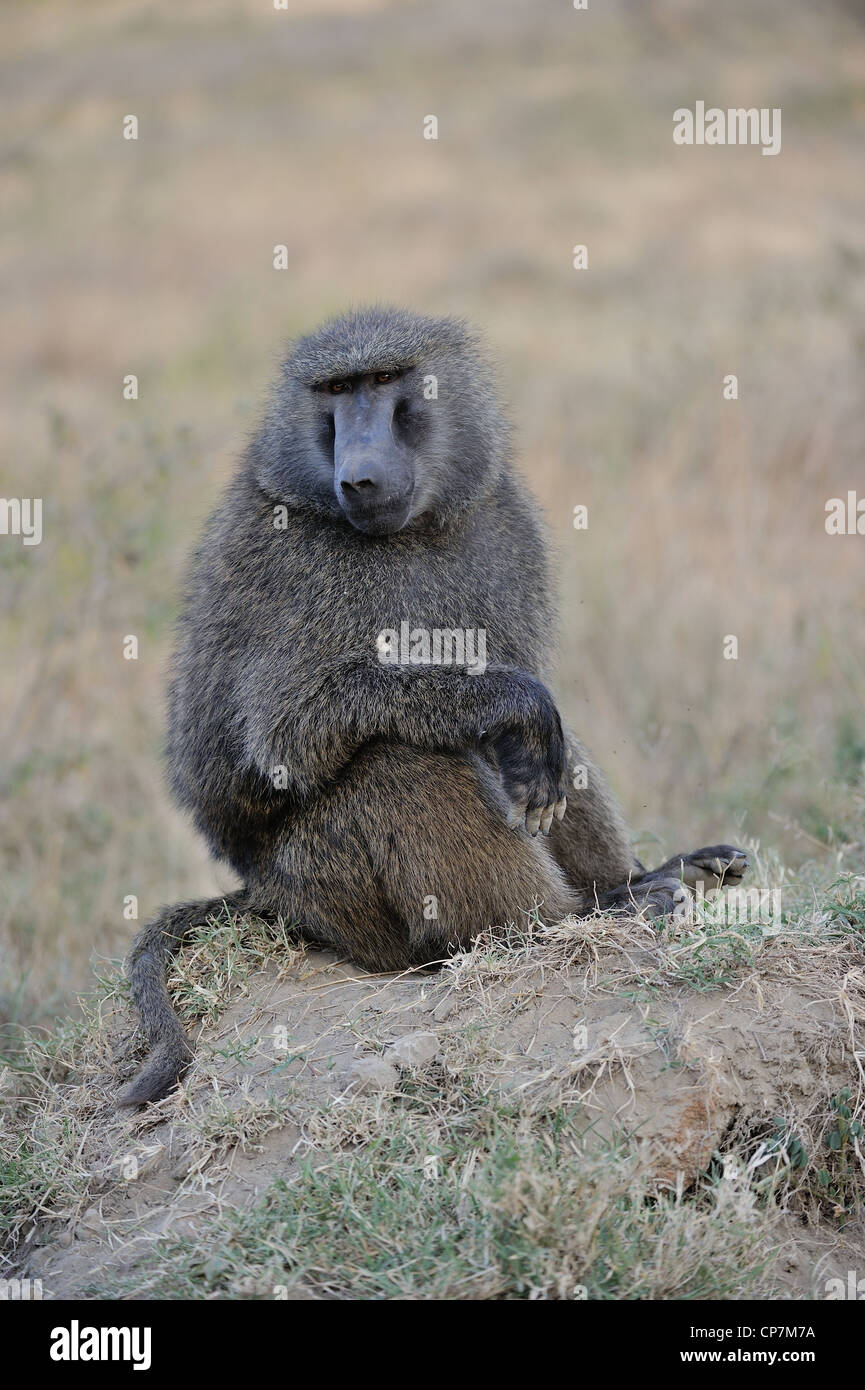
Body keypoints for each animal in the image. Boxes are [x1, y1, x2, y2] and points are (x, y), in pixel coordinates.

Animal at [118, 306, 748, 1106]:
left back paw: (641, 880)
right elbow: (290, 734)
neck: (408, 531)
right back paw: (567, 920)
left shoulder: (503, 525)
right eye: (336, 389)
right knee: (400, 760)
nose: (358, 472)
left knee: (538, 754)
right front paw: (507, 699)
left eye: (387, 379)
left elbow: (528, 737)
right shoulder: (295, 569)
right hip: (327, 892)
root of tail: (261, 890)